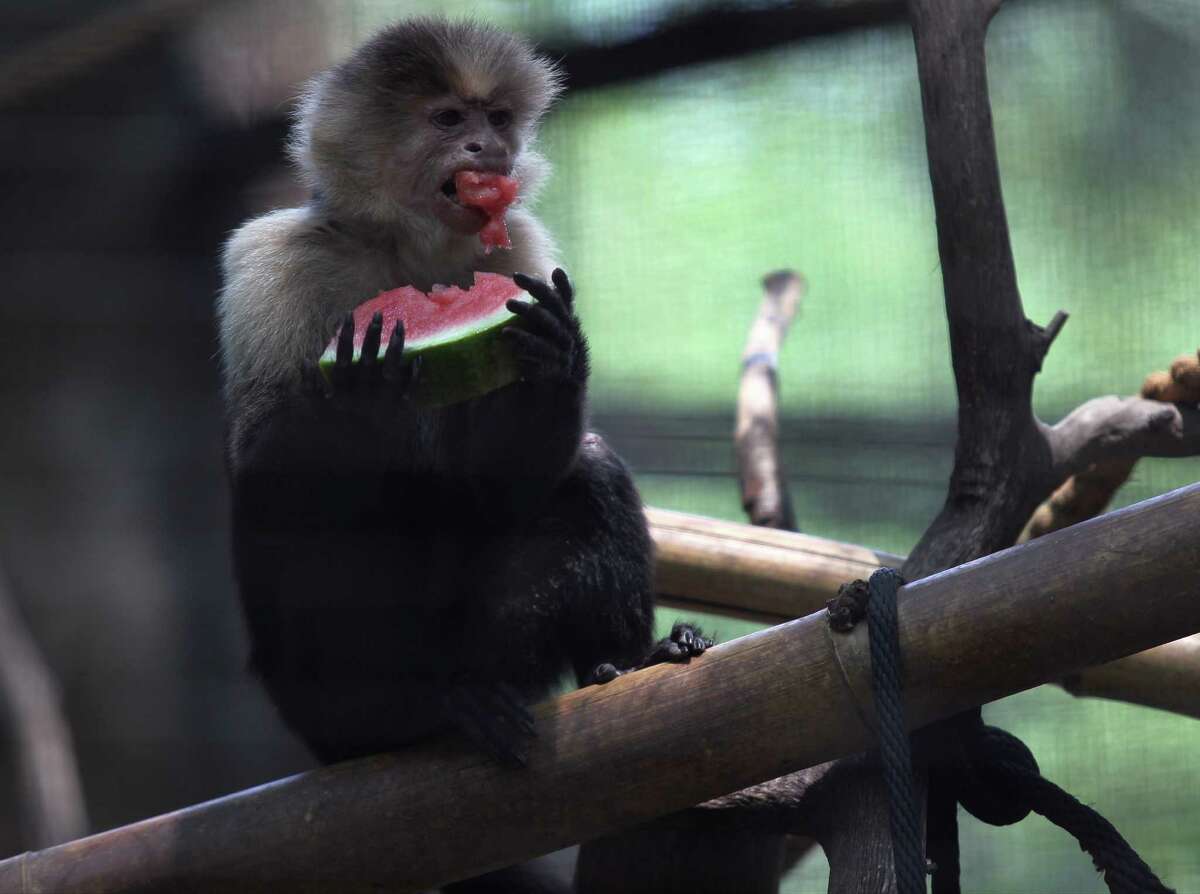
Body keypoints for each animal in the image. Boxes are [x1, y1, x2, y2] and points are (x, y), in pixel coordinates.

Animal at [217, 16, 710, 783]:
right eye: (451, 120)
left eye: (497, 120)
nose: (489, 150)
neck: (411, 255)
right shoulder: (274, 259)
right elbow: (261, 459)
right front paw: (358, 395)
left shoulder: (523, 254)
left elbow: (503, 484)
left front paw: (559, 356)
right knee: (301, 515)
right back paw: (401, 714)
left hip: (500, 648)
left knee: (589, 466)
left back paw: (623, 664)